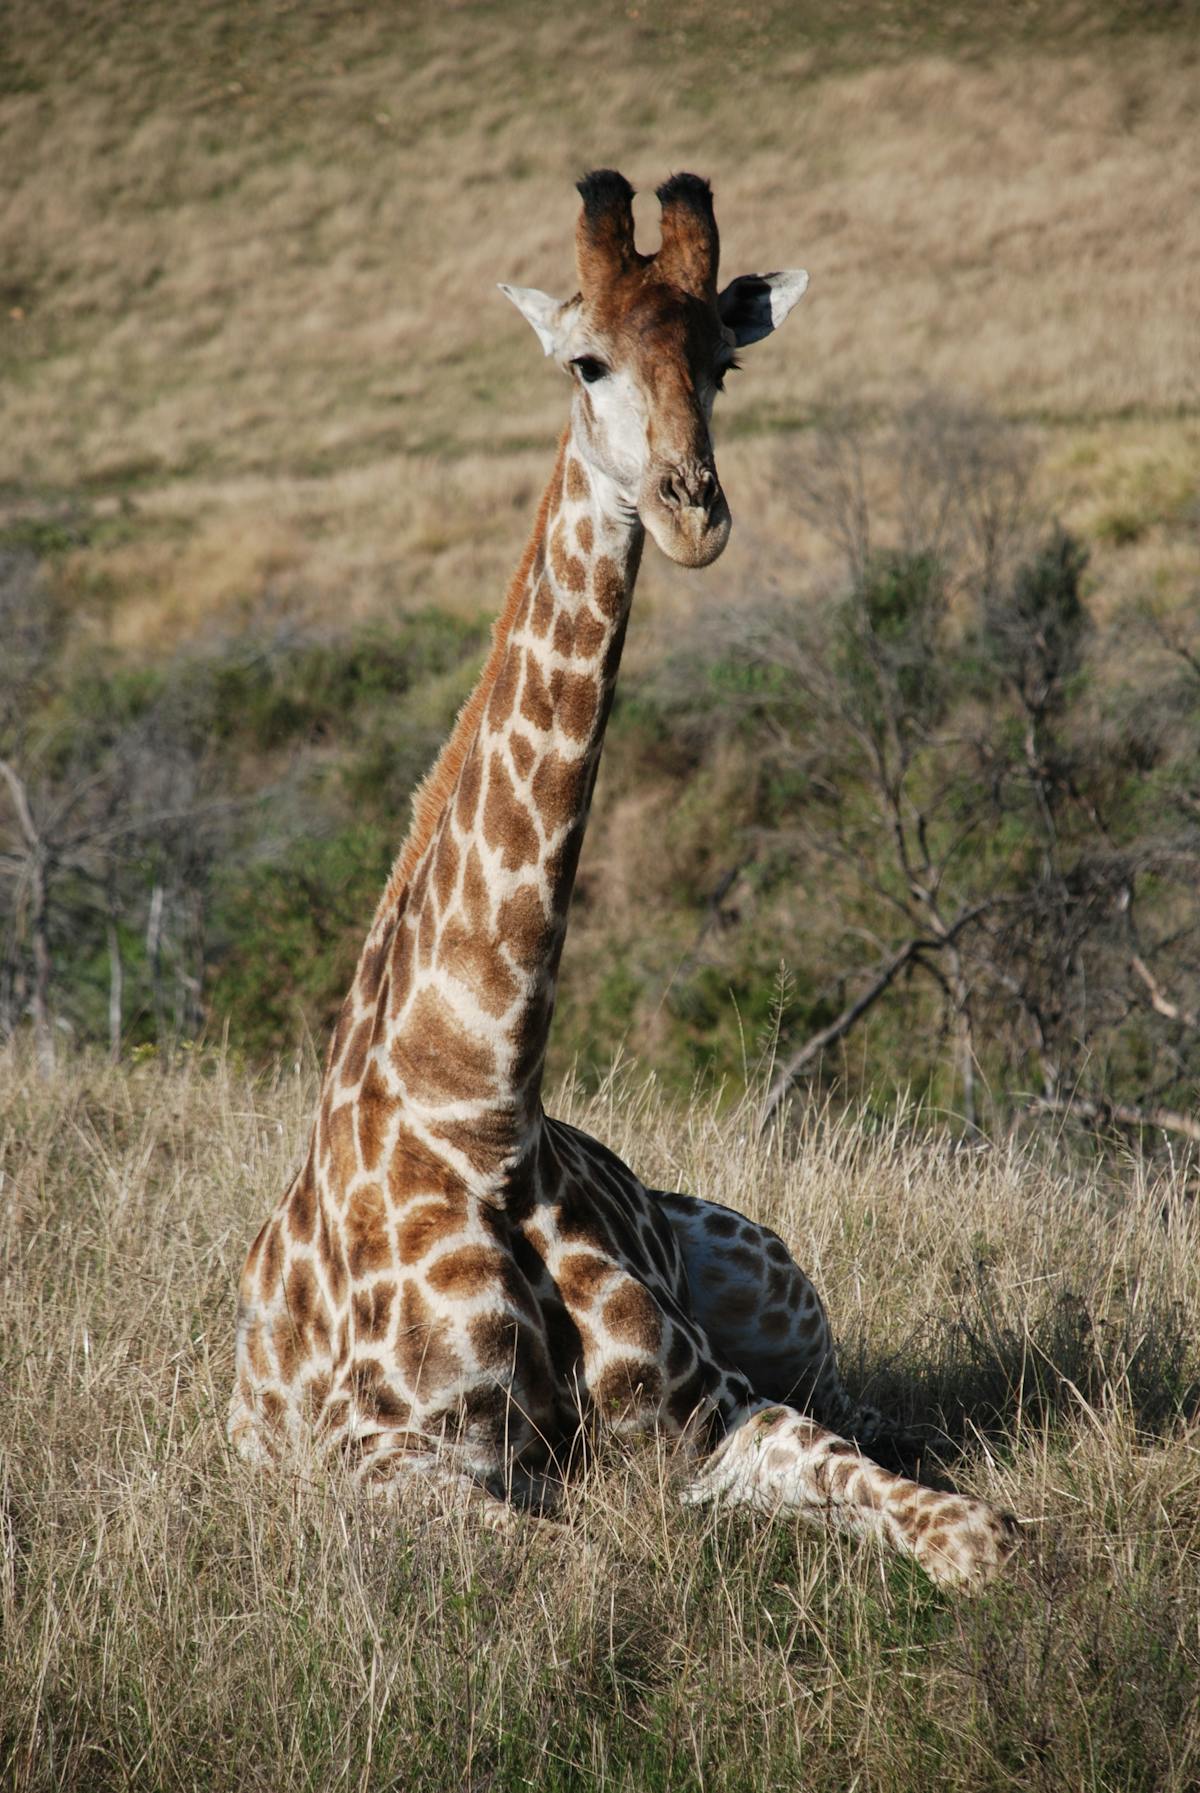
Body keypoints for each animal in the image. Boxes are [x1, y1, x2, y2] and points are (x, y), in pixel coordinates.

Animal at [229, 170, 1019, 1590]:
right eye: (583, 359)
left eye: (722, 361)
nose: (693, 507)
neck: (482, 1105)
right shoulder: (380, 1459)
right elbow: (593, 1560)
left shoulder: (724, 1414)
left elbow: (958, 1523)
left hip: (787, 1291)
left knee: (870, 1400)